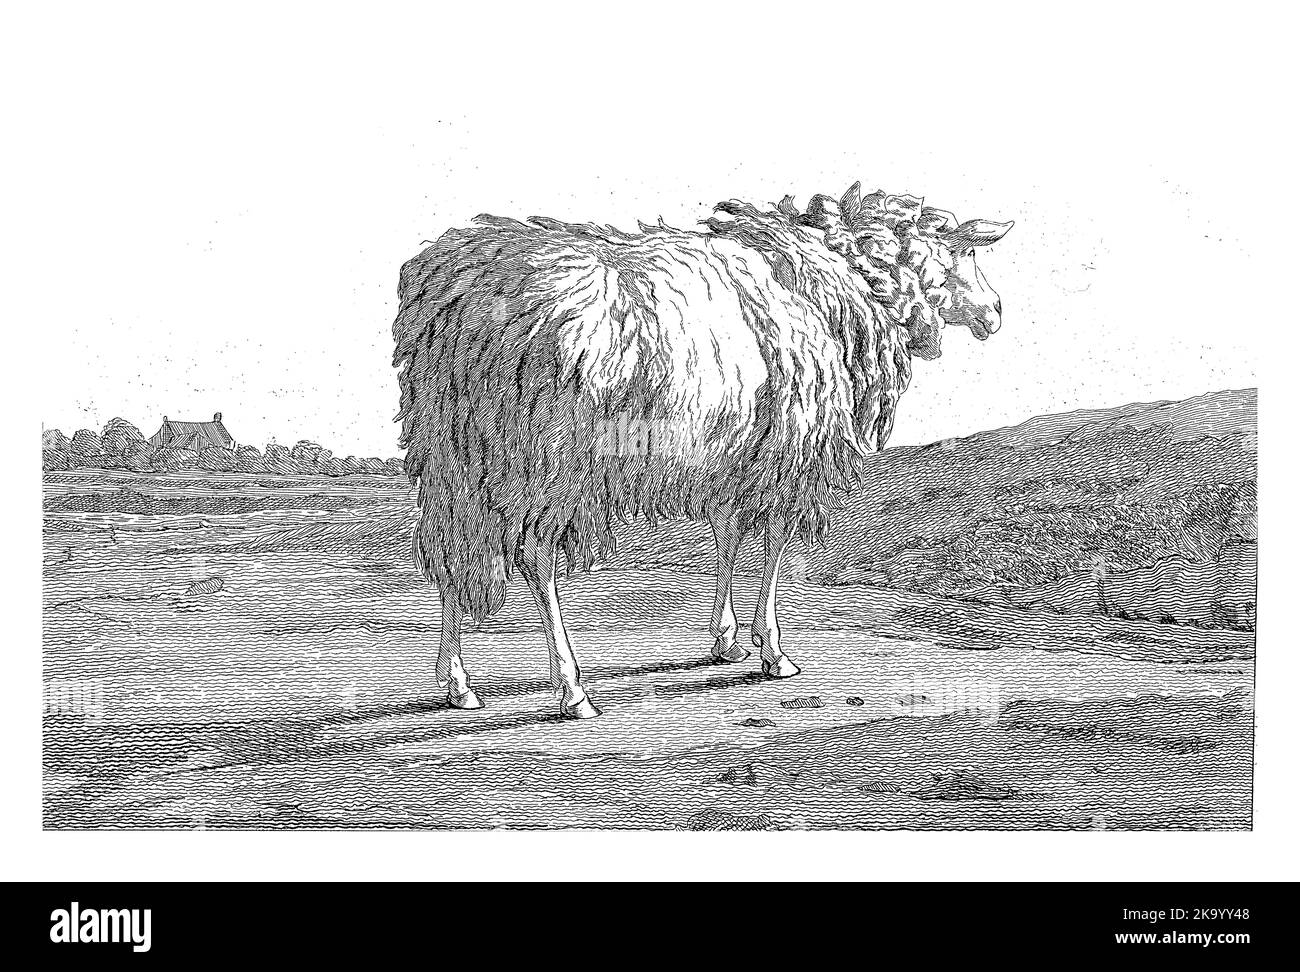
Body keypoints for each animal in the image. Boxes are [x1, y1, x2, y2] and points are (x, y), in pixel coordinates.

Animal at [392, 184, 1013, 718]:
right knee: (535, 558)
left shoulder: (734, 452)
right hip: (546, 458)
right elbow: (774, 542)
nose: (995, 310)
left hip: (456, 451)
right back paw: (571, 689)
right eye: (962, 253)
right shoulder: (788, 451)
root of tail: (464, 302)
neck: (850, 279)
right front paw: (772, 651)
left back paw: (456, 683)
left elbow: (727, 533)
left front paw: (725, 640)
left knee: (448, 552)